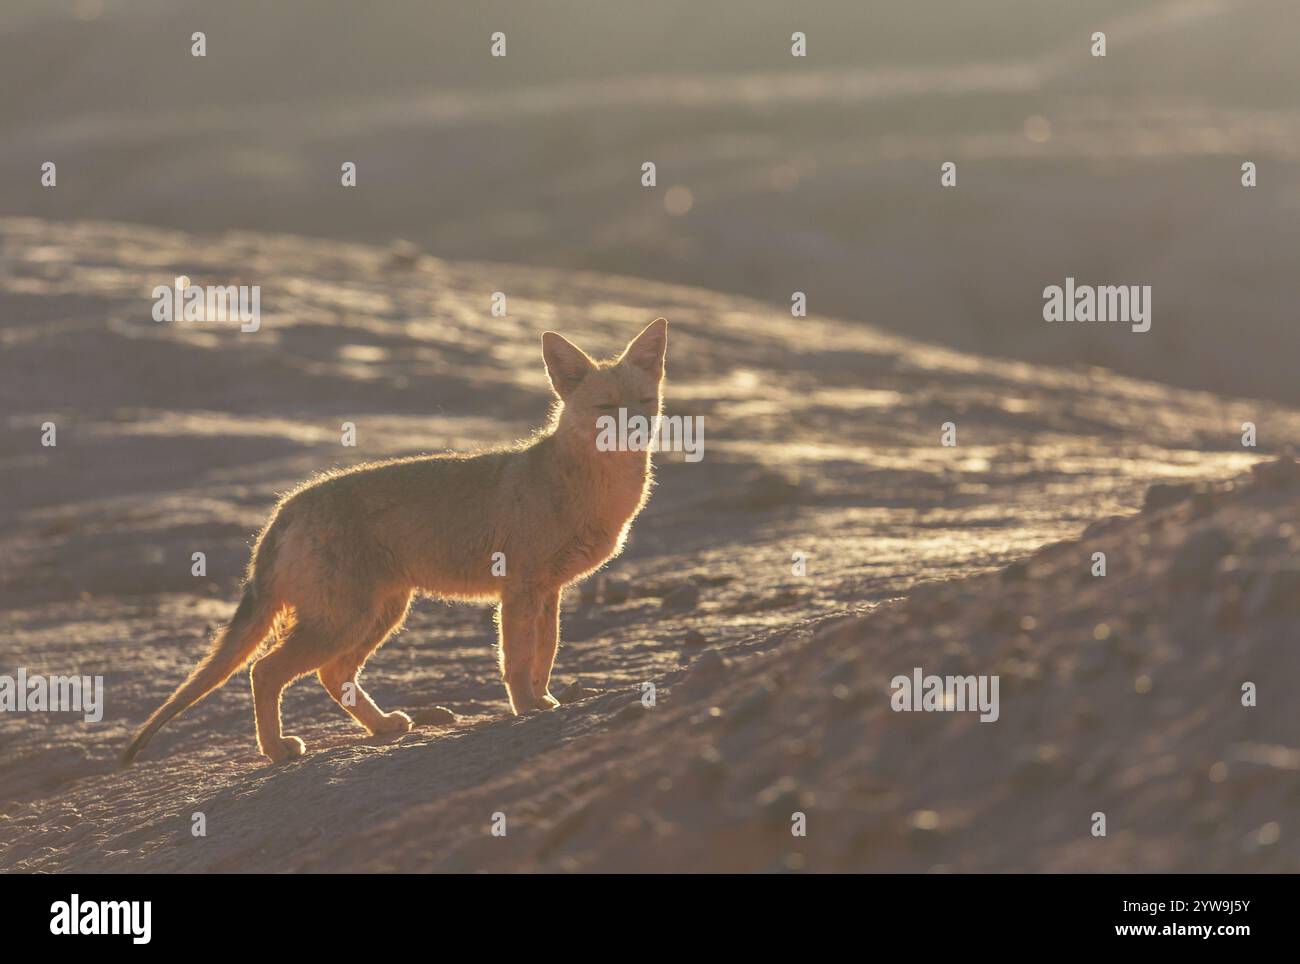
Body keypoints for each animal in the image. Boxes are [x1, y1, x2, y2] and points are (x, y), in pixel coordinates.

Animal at [122, 317, 668, 765]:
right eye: (606, 408)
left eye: (645, 403)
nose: (638, 429)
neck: (586, 488)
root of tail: (286, 506)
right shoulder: (520, 589)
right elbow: (515, 660)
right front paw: (526, 709)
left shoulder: (549, 591)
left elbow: (545, 654)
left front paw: (545, 700)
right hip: (347, 619)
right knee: (265, 671)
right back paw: (277, 751)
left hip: (378, 614)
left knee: (330, 674)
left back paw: (381, 726)